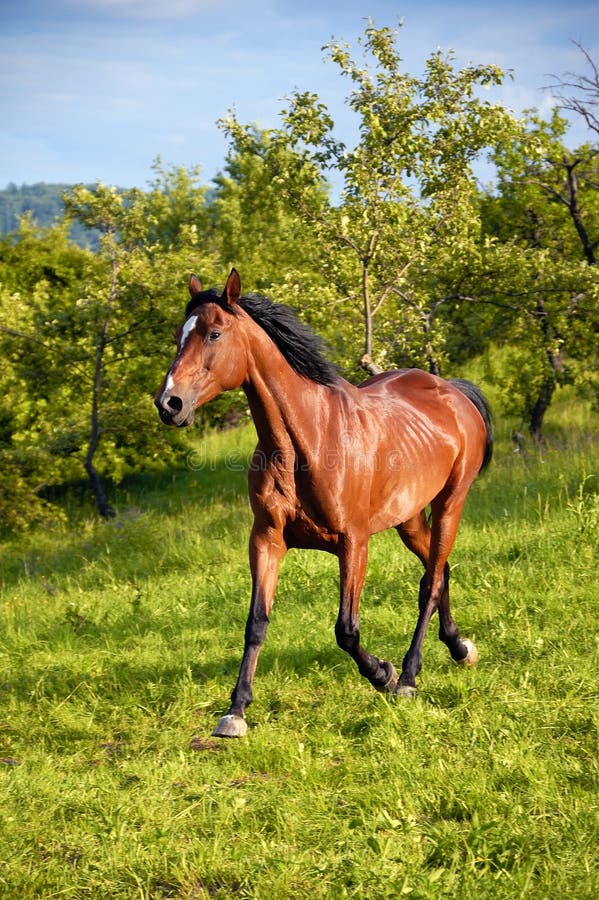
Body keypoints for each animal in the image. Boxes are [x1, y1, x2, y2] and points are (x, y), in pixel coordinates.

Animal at [155, 269, 493, 738]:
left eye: (214, 333)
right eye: (178, 335)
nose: (169, 404)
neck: (305, 443)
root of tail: (453, 392)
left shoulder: (354, 542)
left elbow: (346, 629)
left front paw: (384, 674)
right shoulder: (267, 540)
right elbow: (256, 623)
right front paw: (236, 711)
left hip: (450, 504)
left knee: (429, 582)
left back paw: (409, 676)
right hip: (409, 518)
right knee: (438, 570)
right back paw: (459, 647)